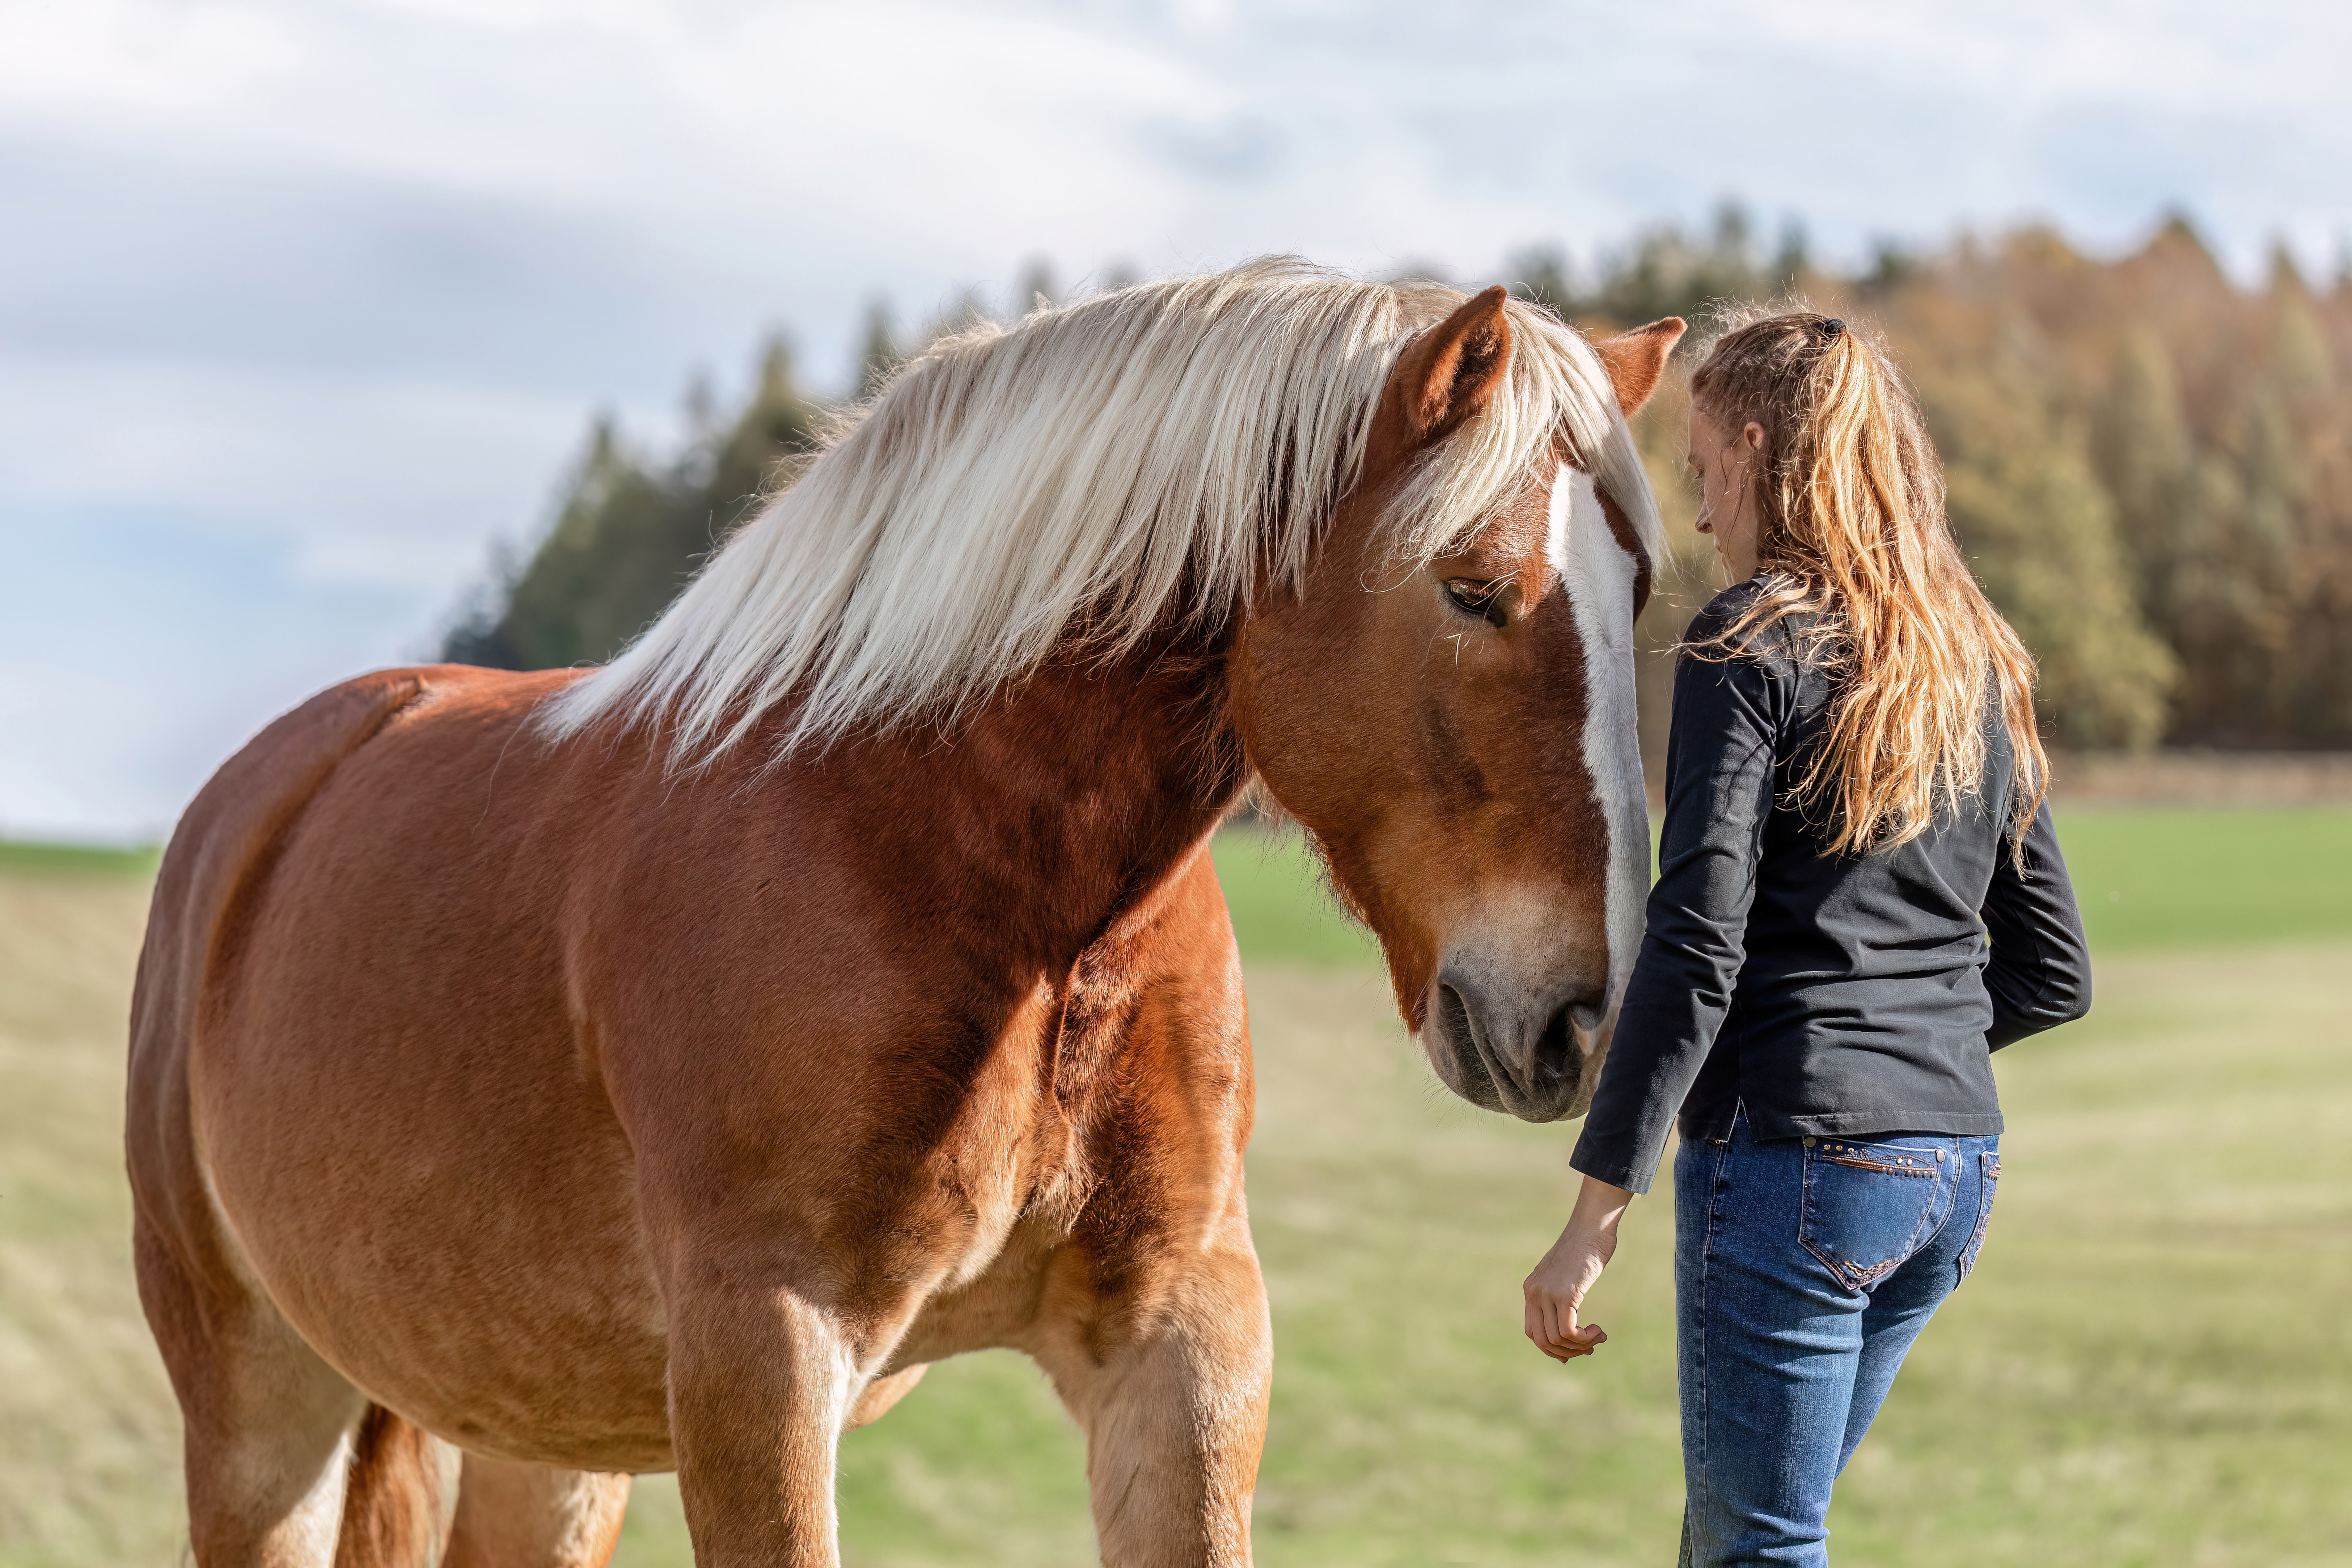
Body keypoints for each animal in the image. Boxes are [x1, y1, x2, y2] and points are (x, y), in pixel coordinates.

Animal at [126, 259, 1682, 1567]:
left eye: (1641, 598)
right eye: (1472, 592)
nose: (1577, 1018)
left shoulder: (1180, 1338)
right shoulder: (765, 1363)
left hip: (547, 1439)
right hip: (263, 1411)